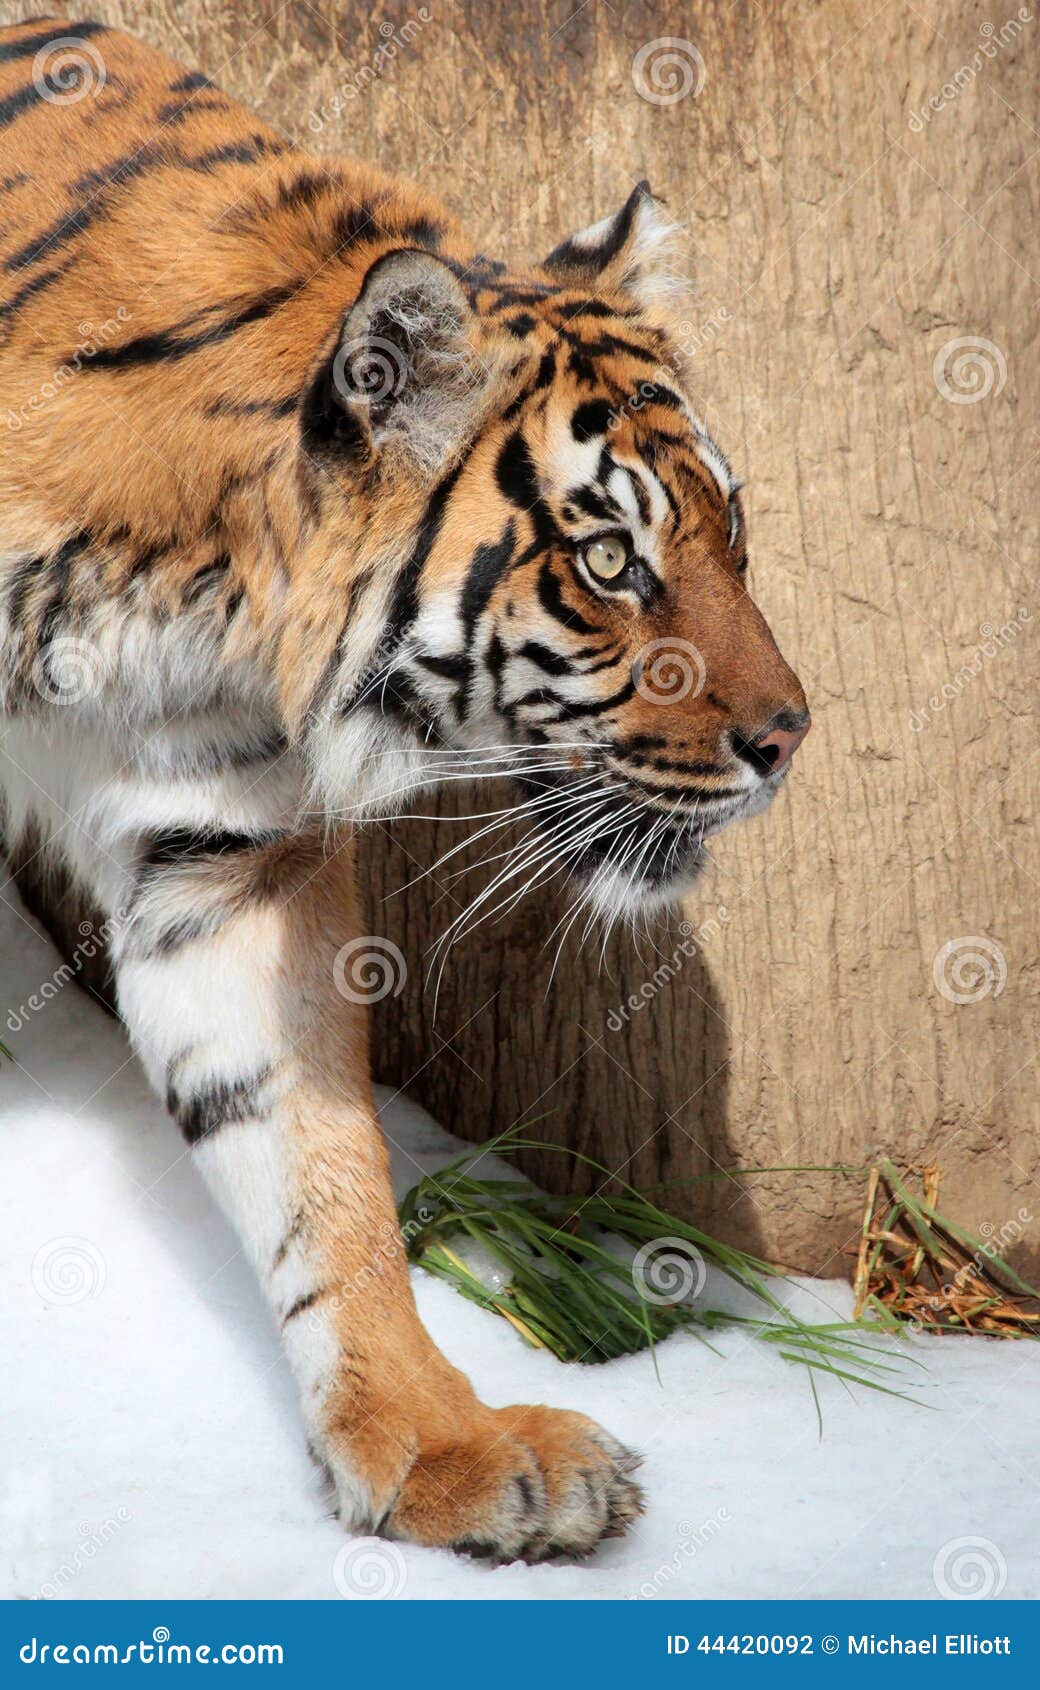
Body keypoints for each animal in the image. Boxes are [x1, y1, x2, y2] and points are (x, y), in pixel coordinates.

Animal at [0, 16, 810, 1563]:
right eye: (610, 561)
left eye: (729, 528)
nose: (788, 737)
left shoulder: (222, 857)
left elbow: (317, 1166)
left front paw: (441, 1443)